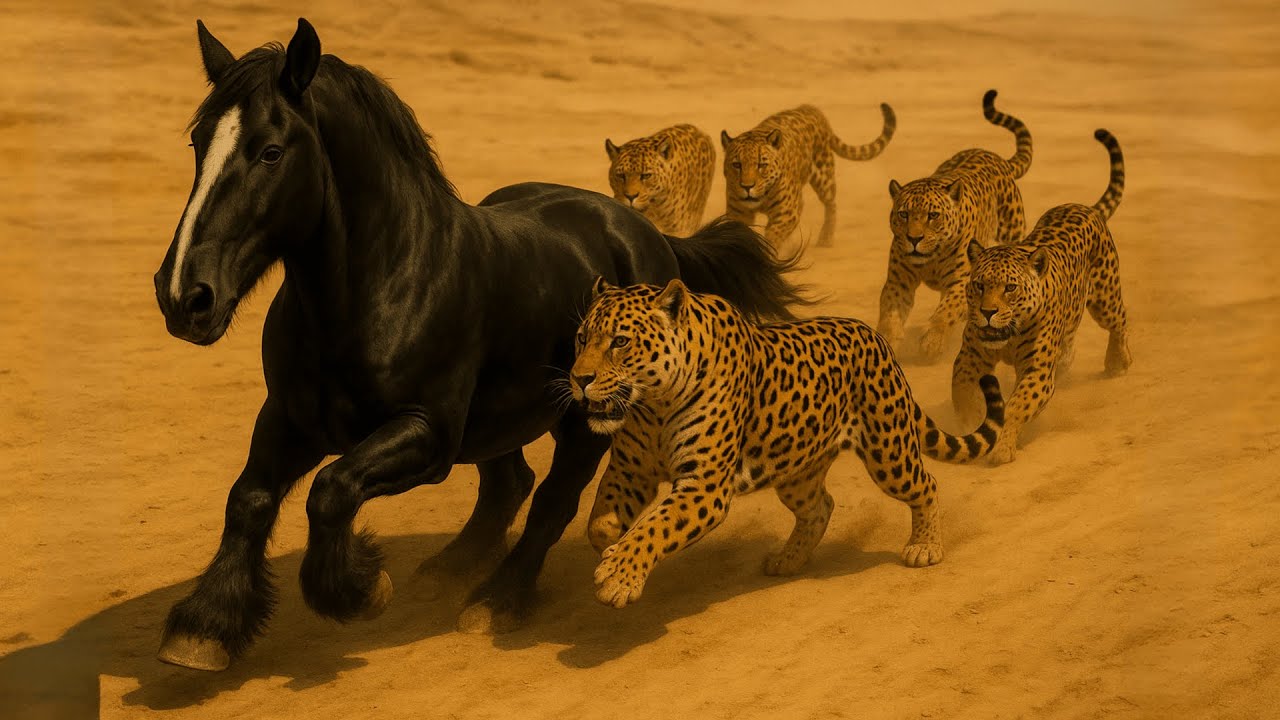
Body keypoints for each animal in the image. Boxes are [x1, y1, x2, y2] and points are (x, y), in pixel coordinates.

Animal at [151, 18, 806, 671]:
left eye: (270, 151)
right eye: (198, 142)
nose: (185, 295)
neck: (379, 286)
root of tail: (651, 237)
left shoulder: (428, 435)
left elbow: (330, 490)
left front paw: (358, 591)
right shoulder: (291, 417)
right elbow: (250, 498)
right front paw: (203, 629)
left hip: (585, 418)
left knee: (551, 499)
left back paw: (496, 602)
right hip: (500, 418)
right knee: (508, 483)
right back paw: (448, 571)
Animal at [565, 277, 1005, 609]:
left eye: (620, 342)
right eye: (581, 338)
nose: (579, 379)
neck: (653, 404)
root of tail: (875, 336)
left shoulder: (705, 485)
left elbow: (658, 527)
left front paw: (619, 576)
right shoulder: (630, 469)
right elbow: (600, 522)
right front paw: (612, 546)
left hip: (889, 451)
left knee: (925, 484)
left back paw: (924, 547)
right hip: (797, 469)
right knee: (821, 506)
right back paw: (788, 559)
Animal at [721, 103, 896, 249]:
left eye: (761, 165)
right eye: (737, 165)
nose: (747, 187)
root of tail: (811, 108)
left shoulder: (785, 213)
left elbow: (773, 236)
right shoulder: (738, 214)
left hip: (823, 177)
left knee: (831, 204)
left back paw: (825, 238)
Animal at [877, 89, 1034, 364]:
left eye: (932, 215)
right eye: (903, 214)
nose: (914, 239)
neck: (929, 260)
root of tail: (994, 156)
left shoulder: (961, 281)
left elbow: (945, 313)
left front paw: (932, 342)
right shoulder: (899, 281)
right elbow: (890, 315)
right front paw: (887, 339)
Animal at [953, 128, 1131, 466]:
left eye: (1010, 288)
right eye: (979, 285)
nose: (987, 312)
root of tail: (1085, 207)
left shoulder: (1036, 371)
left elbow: (1016, 406)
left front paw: (1003, 448)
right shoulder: (970, 357)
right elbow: (963, 392)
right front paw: (970, 422)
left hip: (1105, 297)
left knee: (1120, 320)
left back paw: (1118, 360)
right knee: (1070, 350)